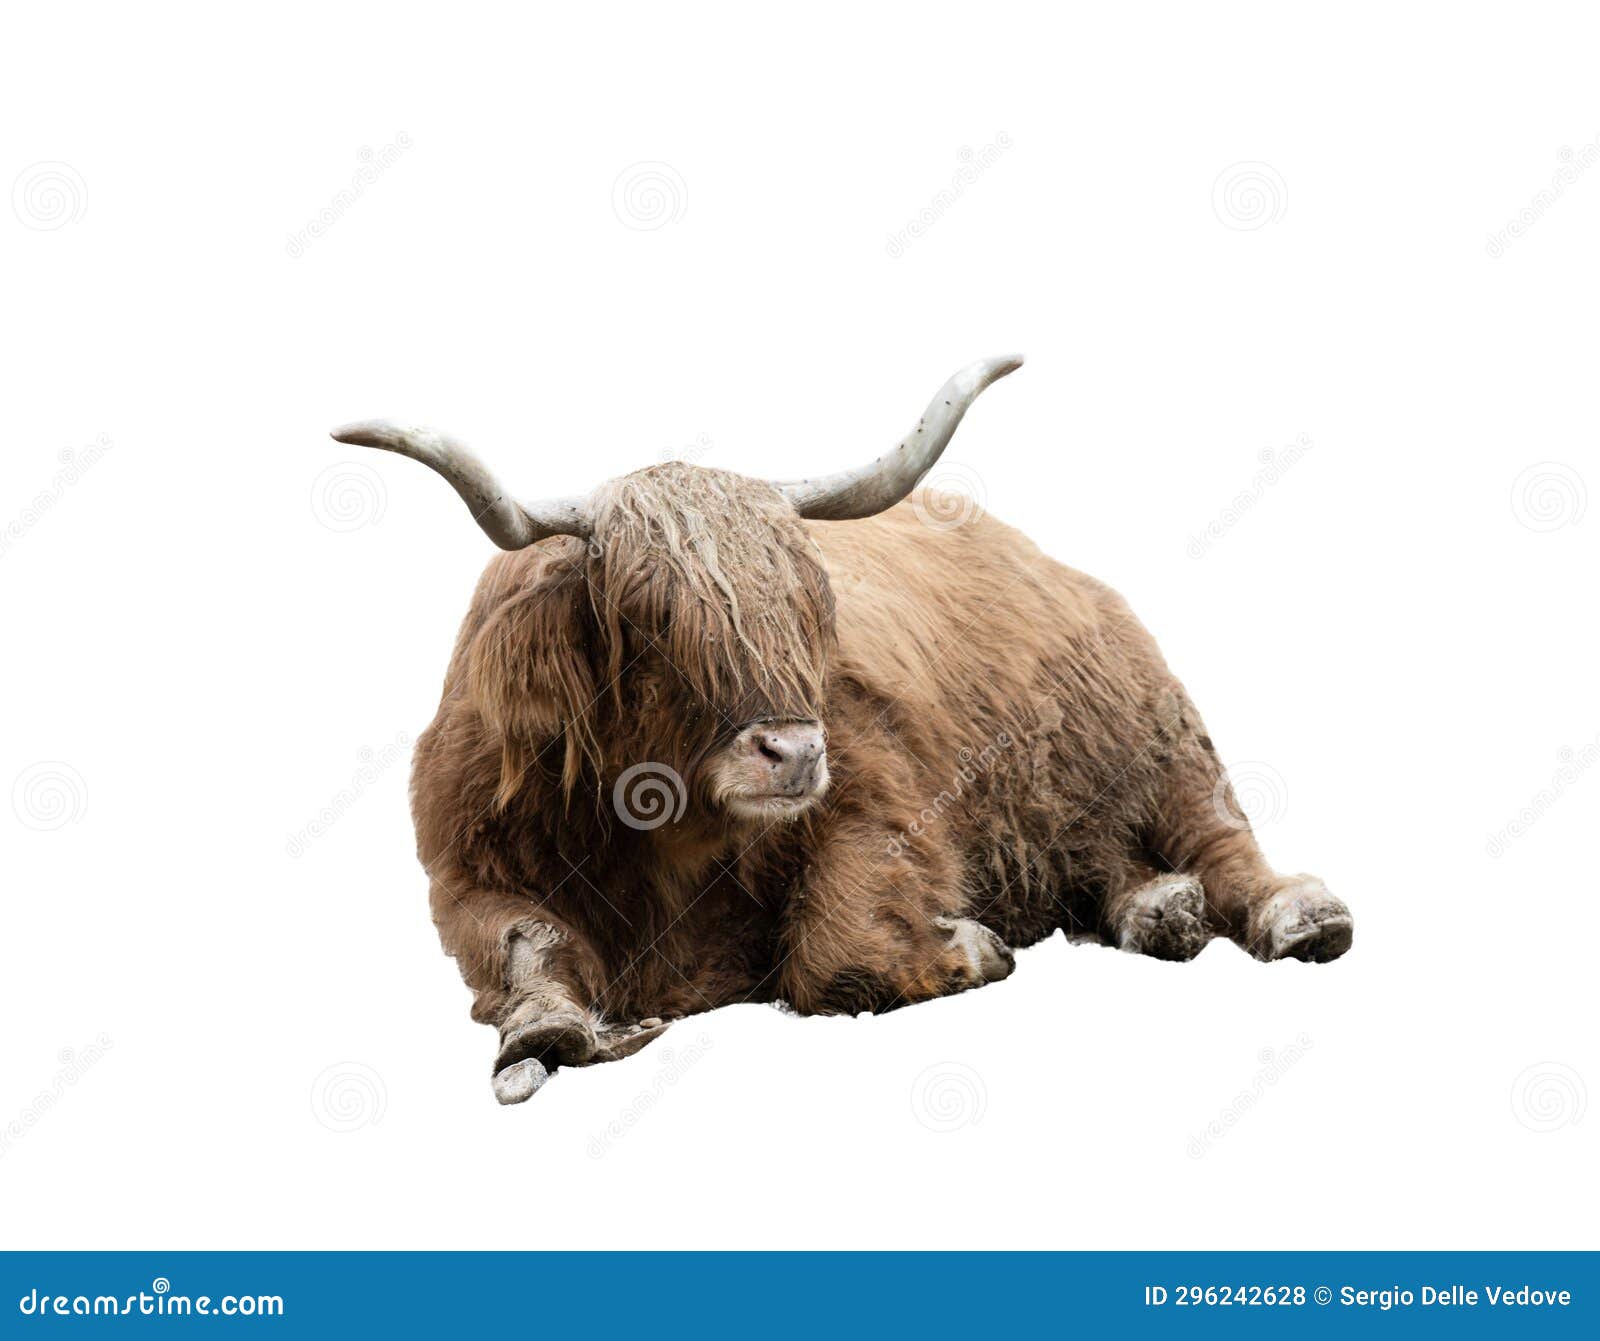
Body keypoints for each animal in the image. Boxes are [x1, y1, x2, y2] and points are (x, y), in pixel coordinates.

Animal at [334, 356, 1352, 1104]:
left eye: (804, 606)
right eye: (648, 619)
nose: (792, 751)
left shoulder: (882, 802)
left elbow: (835, 945)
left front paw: (968, 946)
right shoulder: (463, 871)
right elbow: (522, 940)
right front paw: (542, 1028)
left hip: (1156, 734)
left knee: (1221, 834)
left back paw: (1296, 916)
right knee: (1107, 863)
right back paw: (1161, 910)